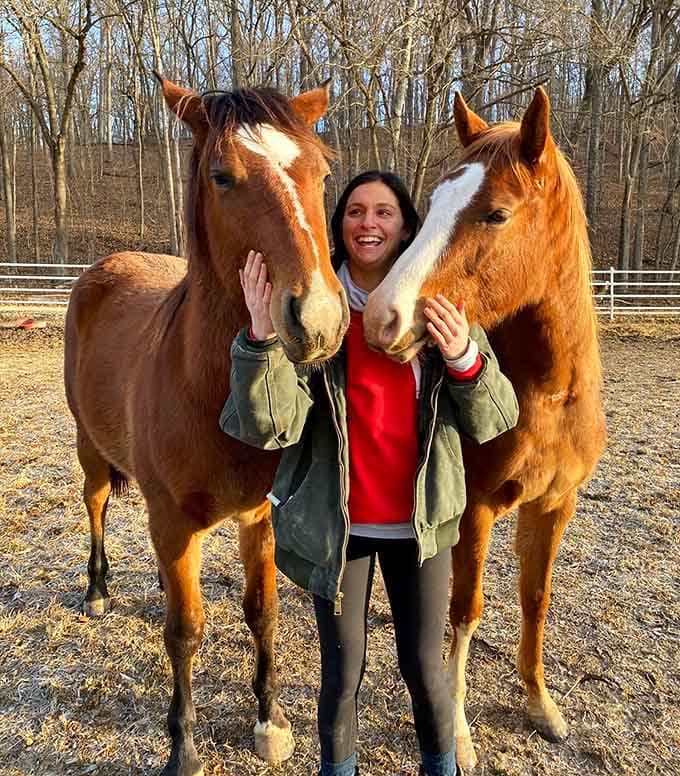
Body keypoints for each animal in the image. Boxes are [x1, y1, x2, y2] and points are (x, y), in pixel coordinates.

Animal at [64, 73, 348, 776]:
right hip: (89, 449)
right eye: (223, 176)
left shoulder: (260, 516)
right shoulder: (171, 524)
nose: (320, 319)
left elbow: (263, 612)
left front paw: (271, 721)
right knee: (96, 503)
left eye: (322, 174)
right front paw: (183, 746)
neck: (208, 389)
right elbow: (185, 629)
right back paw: (98, 589)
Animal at [363, 87, 606, 769]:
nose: (383, 317)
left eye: (496, 214)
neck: (546, 394)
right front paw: (461, 732)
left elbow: (534, 599)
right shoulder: (475, 509)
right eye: (432, 205)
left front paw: (542, 706)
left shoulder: (555, 504)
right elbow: (467, 610)